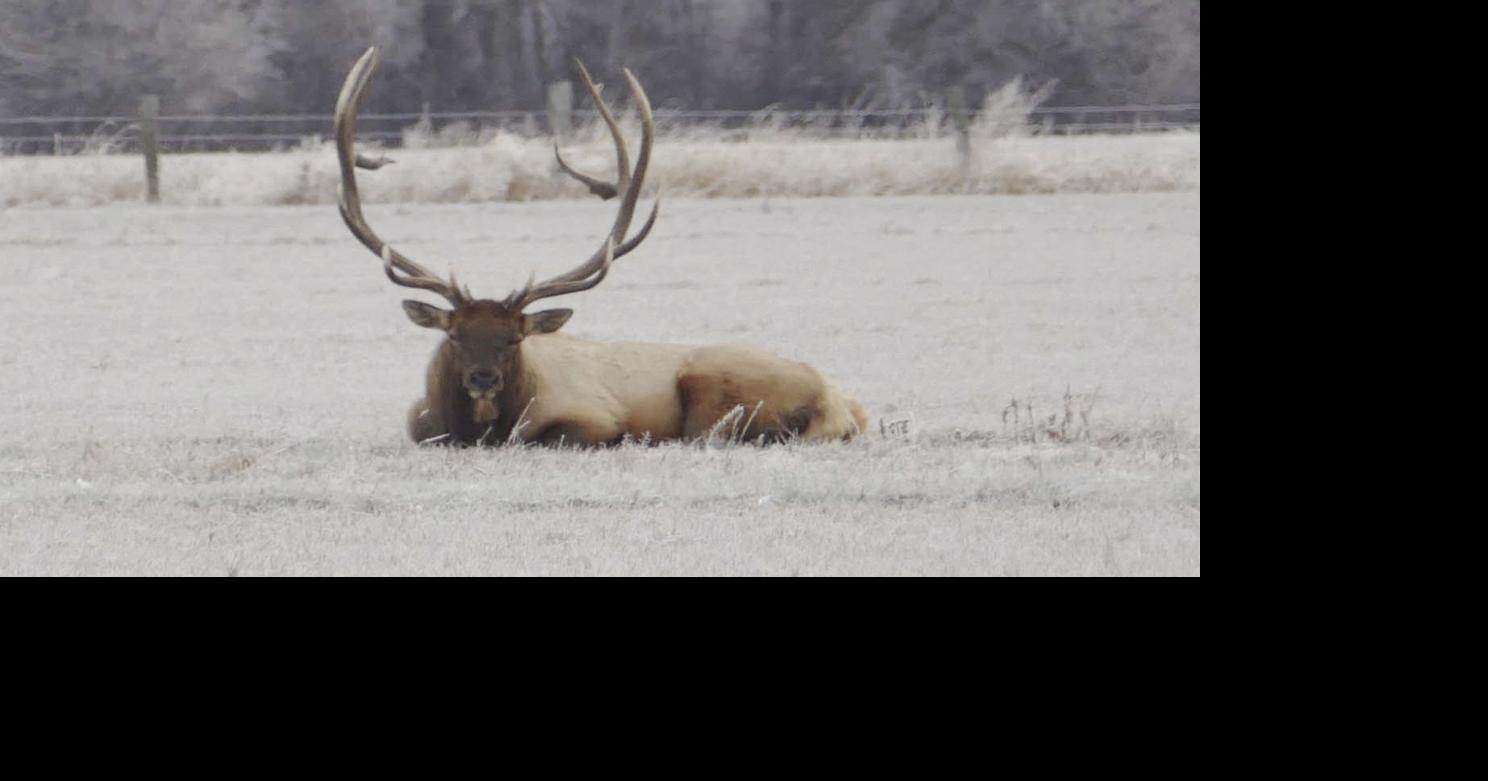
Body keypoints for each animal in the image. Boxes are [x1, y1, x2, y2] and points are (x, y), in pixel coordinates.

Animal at [334, 47, 867, 447]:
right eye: (455, 335)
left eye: (514, 339)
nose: (483, 379)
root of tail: (841, 404)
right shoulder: (419, 422)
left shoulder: (592, 417)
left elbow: (555, 435)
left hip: (712, 384)